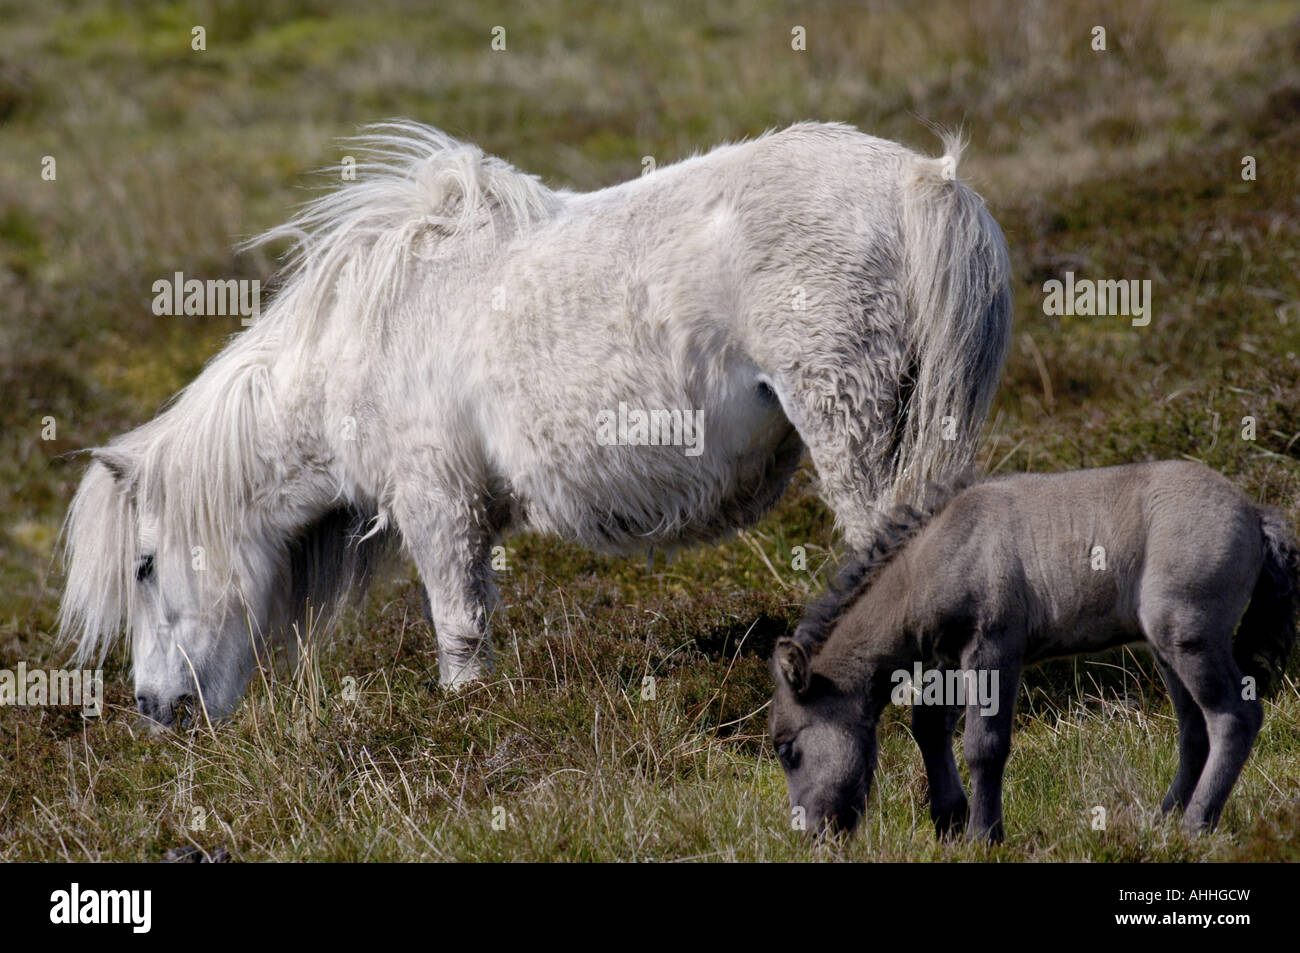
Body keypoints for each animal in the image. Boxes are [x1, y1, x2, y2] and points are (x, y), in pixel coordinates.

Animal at [57, 120, 1013, 727]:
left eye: (144, 565)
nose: (156, 711)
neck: (369, 333)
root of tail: (923, 181)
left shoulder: (438, 502)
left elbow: (458, 624)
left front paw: (465, 719)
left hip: (850, 421)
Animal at [770, 461, 1299, 840]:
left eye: (787, 750)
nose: (813, 835)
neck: (936, 557)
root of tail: (1255, 515)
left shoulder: (994, 647)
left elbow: (984, 745)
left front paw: (982, 835)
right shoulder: (950, 658)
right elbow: (929, 725)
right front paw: (949, 822)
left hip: (1191, 637)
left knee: (1234, 717)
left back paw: (1195, 825)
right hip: (1166, 649)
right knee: (1194, 732)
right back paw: (1163, 821)